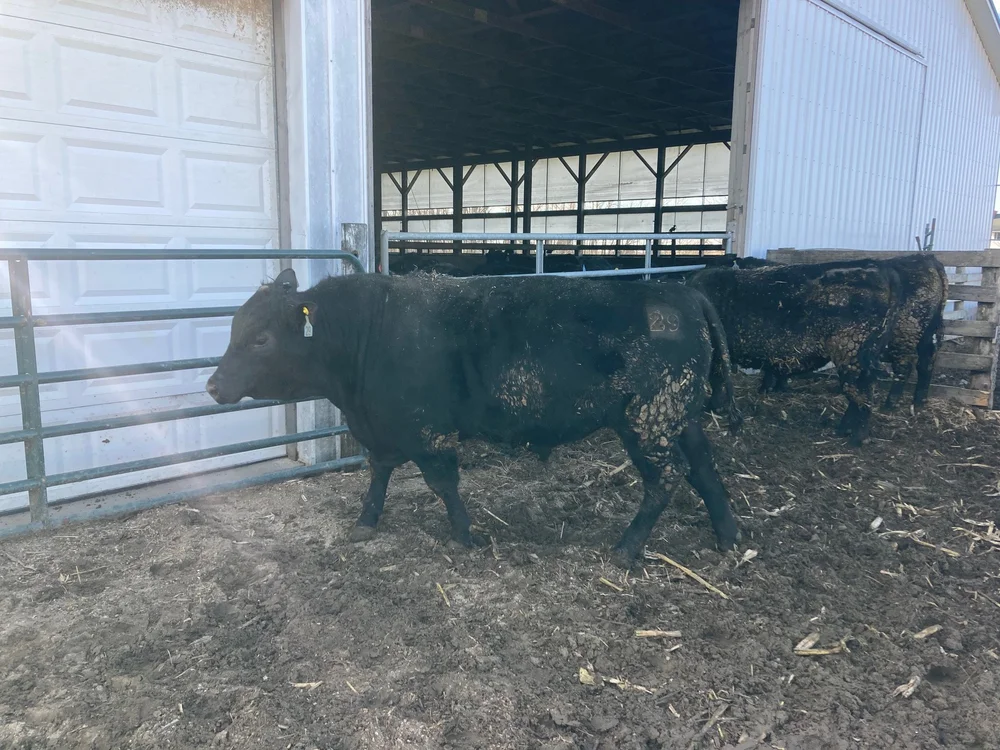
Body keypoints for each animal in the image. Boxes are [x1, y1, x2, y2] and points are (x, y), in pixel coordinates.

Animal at [205, 268, 743, 567]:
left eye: (261, 339)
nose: (212, 386)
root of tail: (680, 292)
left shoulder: (428, 431)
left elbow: (444, 484)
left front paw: (468, 536)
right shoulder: (382, 428)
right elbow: (378, 472)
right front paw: (366, 521)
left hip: (649, 420)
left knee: (667, 478)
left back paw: (628, 548)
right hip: (680, 418)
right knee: (704, 469)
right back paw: (729, 535)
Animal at [687, 262, 903, 446]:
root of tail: (881, 271)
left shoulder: (716, 353)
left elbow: (716, 380)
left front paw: (713, 407)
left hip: (853, 355)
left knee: (862, 393)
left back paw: (858, 438)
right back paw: (844, 430)